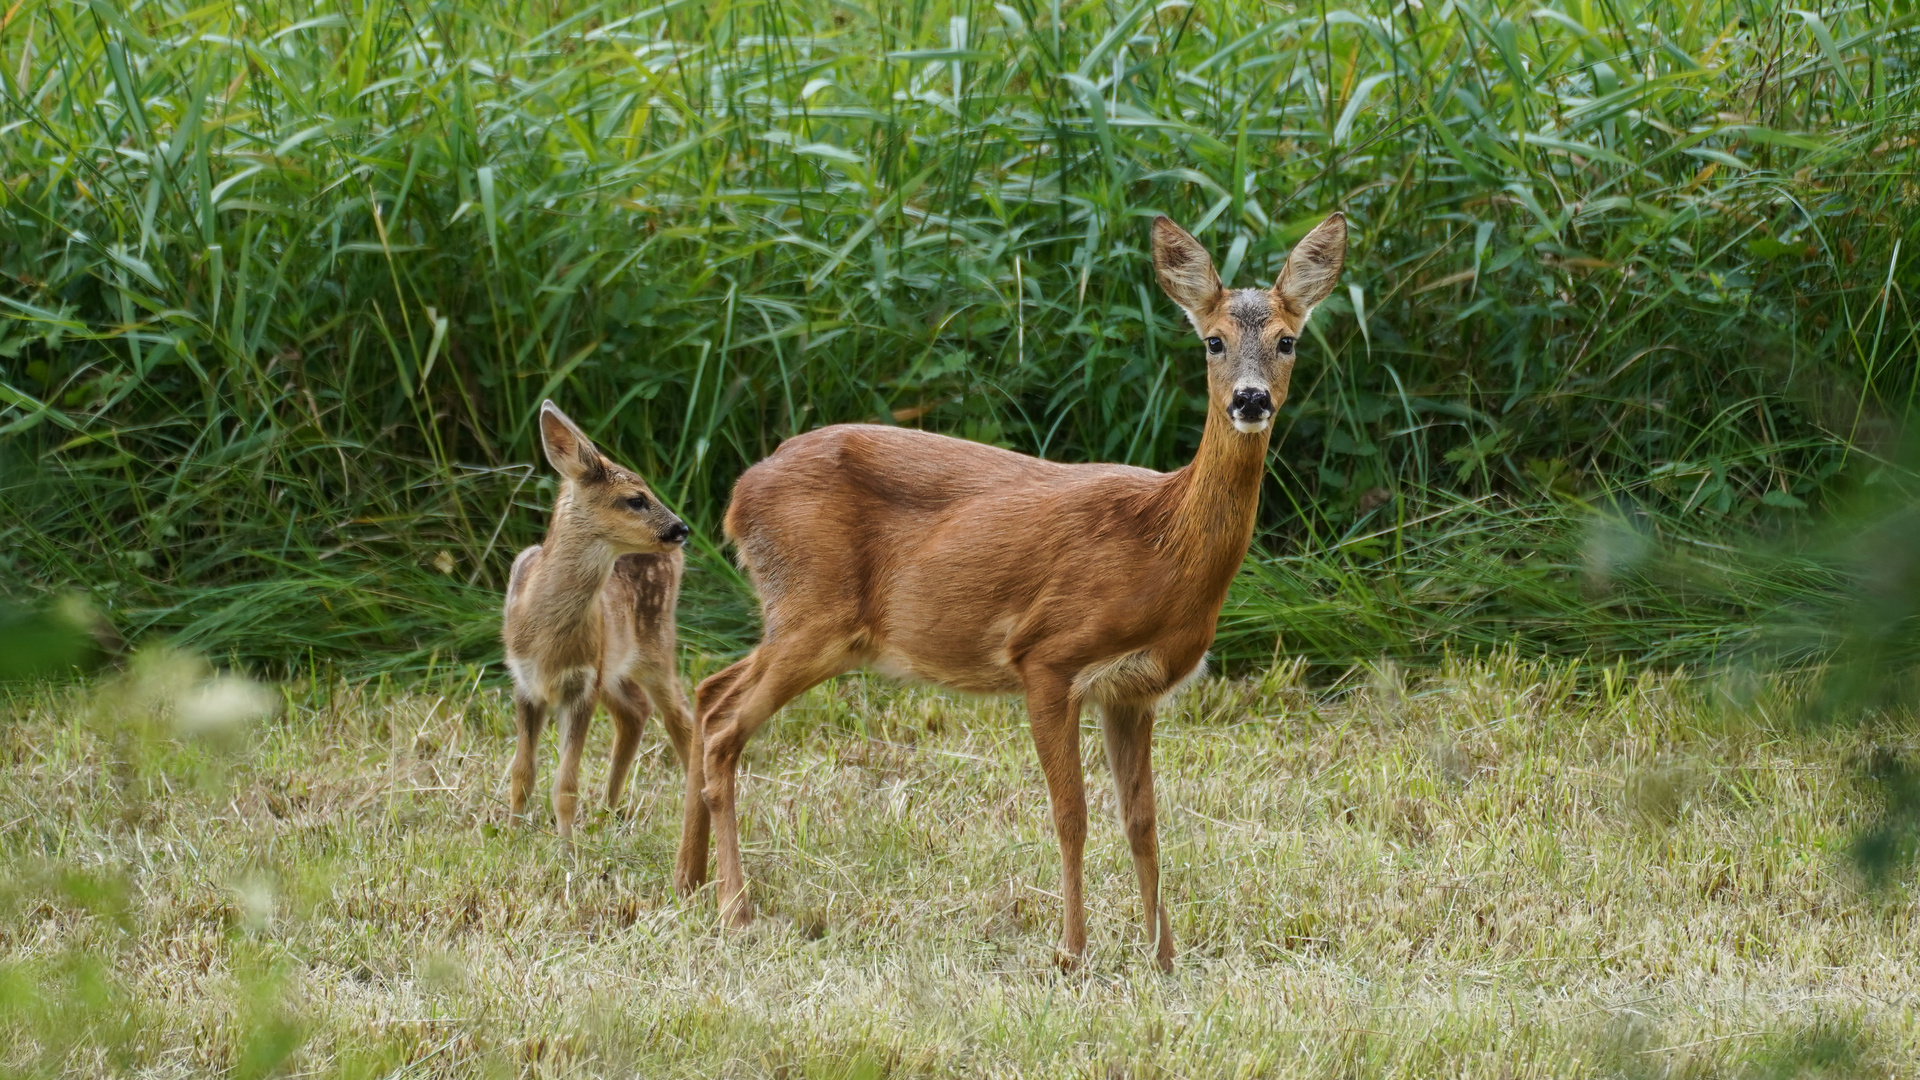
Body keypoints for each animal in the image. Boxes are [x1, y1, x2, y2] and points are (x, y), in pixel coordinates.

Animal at [503, 399, 714, 887]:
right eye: (635, 498)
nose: (681, 528)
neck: (544, 633)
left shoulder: (582, 683)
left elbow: (565, 784)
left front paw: (566, 853)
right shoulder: (525, 683)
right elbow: (522, 772)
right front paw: (510, 838)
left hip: (654, 645)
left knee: (681, 720)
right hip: (615, 668)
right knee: (636, 711)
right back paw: (606, 816)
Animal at [695, 212, 1351, 968]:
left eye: (1287, 340)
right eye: (1212, 340)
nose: (1250, 399)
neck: (1160, 542)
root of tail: (738, 499)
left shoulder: (1133, 690)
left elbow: (1143, 820)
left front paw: (1163, 958)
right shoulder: (1047, 656)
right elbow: (1071, 814)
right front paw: (1071, 953)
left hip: (800, 619)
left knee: (707, 693)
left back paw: (689, 882)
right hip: (812, 612)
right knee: (724, 728)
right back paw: (734, 911)